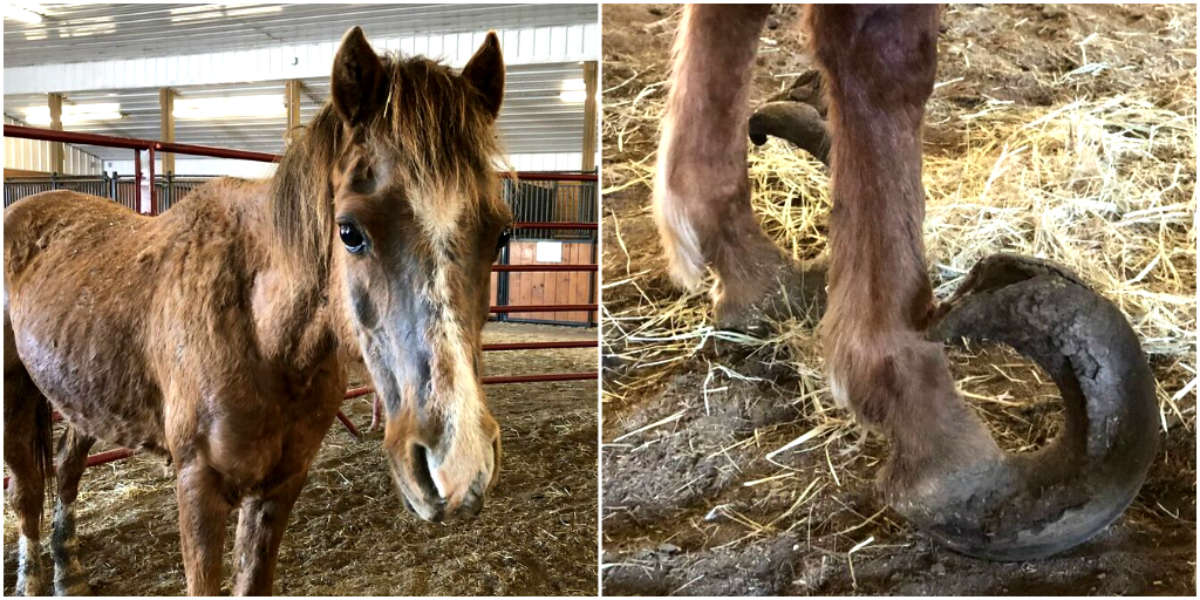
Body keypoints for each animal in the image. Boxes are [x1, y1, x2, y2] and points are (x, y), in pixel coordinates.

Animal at [4, 26, 513, 595]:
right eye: (349, 231)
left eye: (501, 233)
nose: (457, 464)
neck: (260, 334)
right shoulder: (197, 487)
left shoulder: (281, 484)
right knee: (27, 491)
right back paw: (31, 578)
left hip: (84, 399)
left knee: (67, 471)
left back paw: (68, 572)